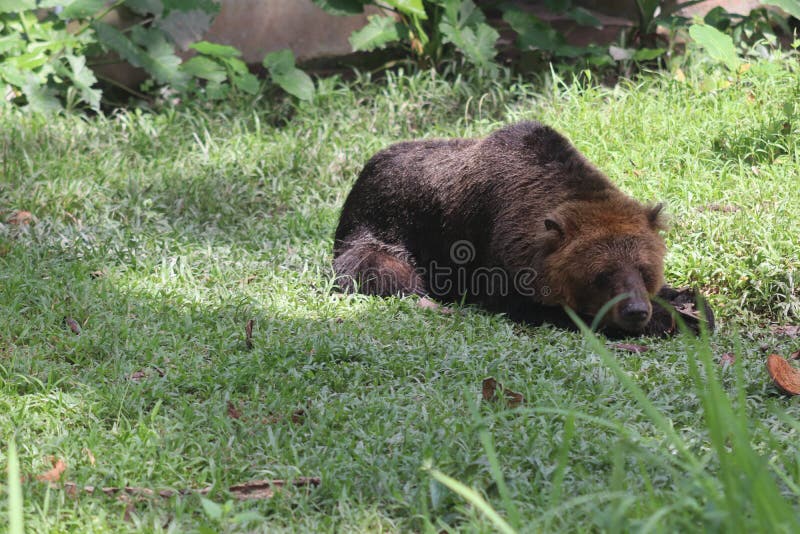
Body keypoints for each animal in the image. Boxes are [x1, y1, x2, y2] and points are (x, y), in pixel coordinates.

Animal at [333, 121, 710, 336]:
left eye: (644, 270)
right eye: (602, 275)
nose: (635, 311)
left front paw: (689, 304)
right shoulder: (494, 257)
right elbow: (541, 308)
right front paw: (671, 319)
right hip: (377, 235)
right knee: (388, 272)